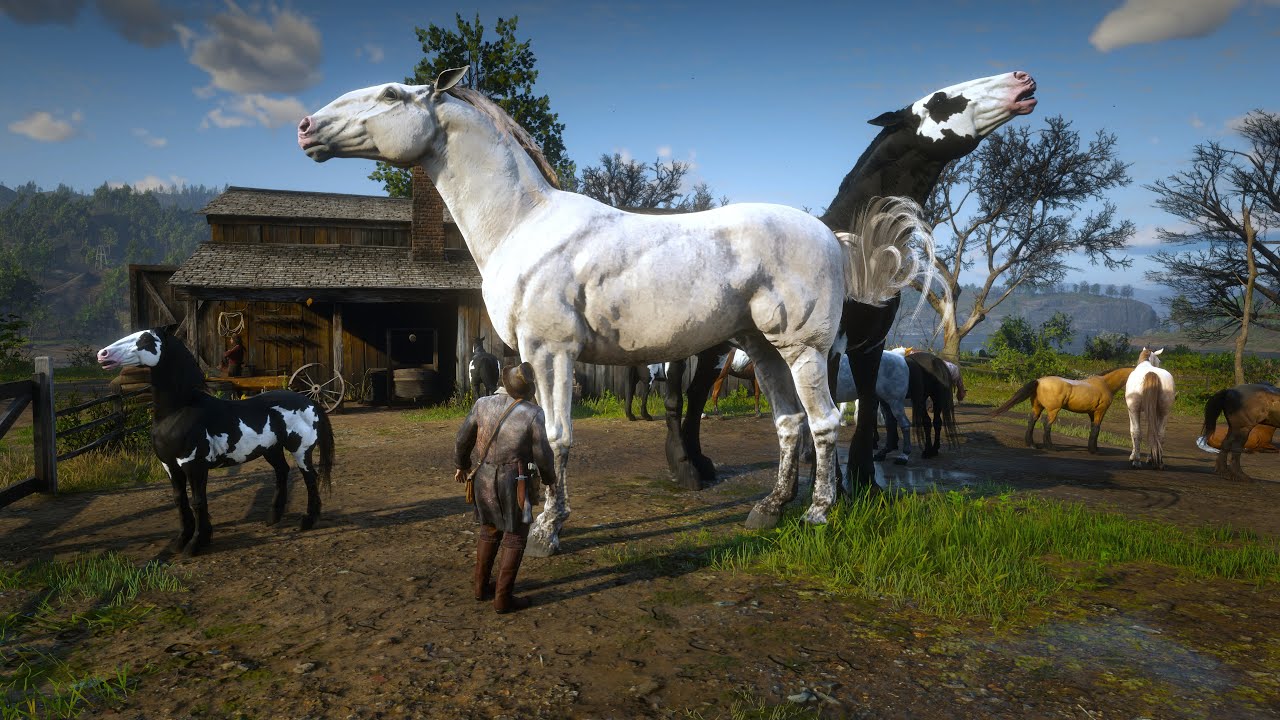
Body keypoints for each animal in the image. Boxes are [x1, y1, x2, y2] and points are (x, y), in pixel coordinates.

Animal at [97, 327, 335, 556]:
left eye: (145, 339)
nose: (102, 354)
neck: (178, 411)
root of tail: (310, 401)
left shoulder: (193, 465)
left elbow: (197, 501)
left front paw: (196, 544)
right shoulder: (170, 466)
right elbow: (179, 500)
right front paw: (180, 542)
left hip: (301, 450)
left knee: (310, 478)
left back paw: (308, 521)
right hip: (271, 450)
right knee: (282, 472)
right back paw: (273, 518)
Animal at [299, 68, 934, 554]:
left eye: (390, 94)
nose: (306, 128)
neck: (523, 225)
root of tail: (831, 236)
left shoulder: (552, 353)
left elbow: (557, 438)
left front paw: (547, 532)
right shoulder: (536, 359)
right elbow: (540, 441)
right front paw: (545, 519)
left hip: (803, 350)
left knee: (822, 423)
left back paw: (817, 513)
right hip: (761, 350)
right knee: (788, 424)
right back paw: (768, 511)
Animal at [650, 71, 1036, 491]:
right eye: (939, 99)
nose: (1023, 82)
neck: (856, 253)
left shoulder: (871, 345)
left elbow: (865, 410)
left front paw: (866, 482)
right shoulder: (828, 345)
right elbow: (830, 409)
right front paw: (830, 484)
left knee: (697, 395)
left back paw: (701, 465)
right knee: (678, 397)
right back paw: (684, 467)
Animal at [990, 366, 1134, 453]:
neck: (1104, 384)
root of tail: (1039, 381)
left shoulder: (1092, 413)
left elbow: (1094, 428)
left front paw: (1093, 448)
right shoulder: (1100, 411)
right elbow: (1096, 428)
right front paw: (1093, 450)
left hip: (1037, 407)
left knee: (1032, 421)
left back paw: (1032, 444)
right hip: (1053, 410)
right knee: (1047, 424)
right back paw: (1050, 447)